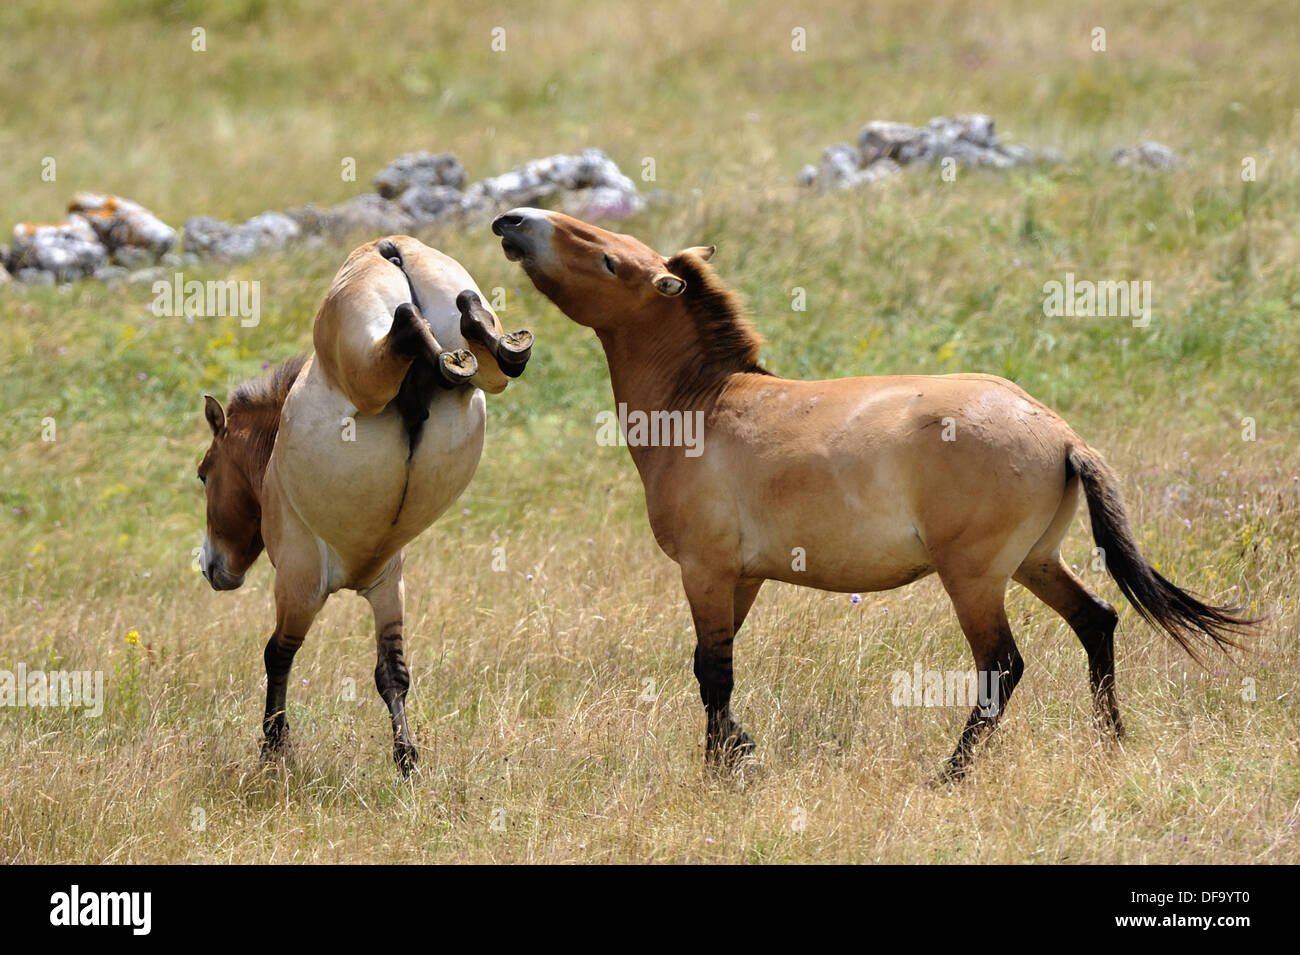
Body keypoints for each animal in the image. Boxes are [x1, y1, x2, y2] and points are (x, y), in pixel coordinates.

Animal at [197, 235, 533, 774]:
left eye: (204, 474)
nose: (211, 567)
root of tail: (389, 246)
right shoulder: (387, 586)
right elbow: (392, 673)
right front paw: (407, 760)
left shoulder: (299, 583)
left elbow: (277, 654)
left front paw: (274, 747)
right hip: (479, 367)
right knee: (484, 354)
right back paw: (485, 341)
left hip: (366, 373)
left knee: (405, 328)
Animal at [490, 207, 1254, 780]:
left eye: (609, 261)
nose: (515, 219)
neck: (701, 404)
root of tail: (1062, 434)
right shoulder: (742, 577)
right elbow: (716, 669)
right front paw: (736, 753)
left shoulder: (705, 570)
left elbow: (712, 672)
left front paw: (722, 771)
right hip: (1036, 563)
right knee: (1097, 621)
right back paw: (1111, 741)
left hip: (974, 578)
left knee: (1001, 665)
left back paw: (951, 773)